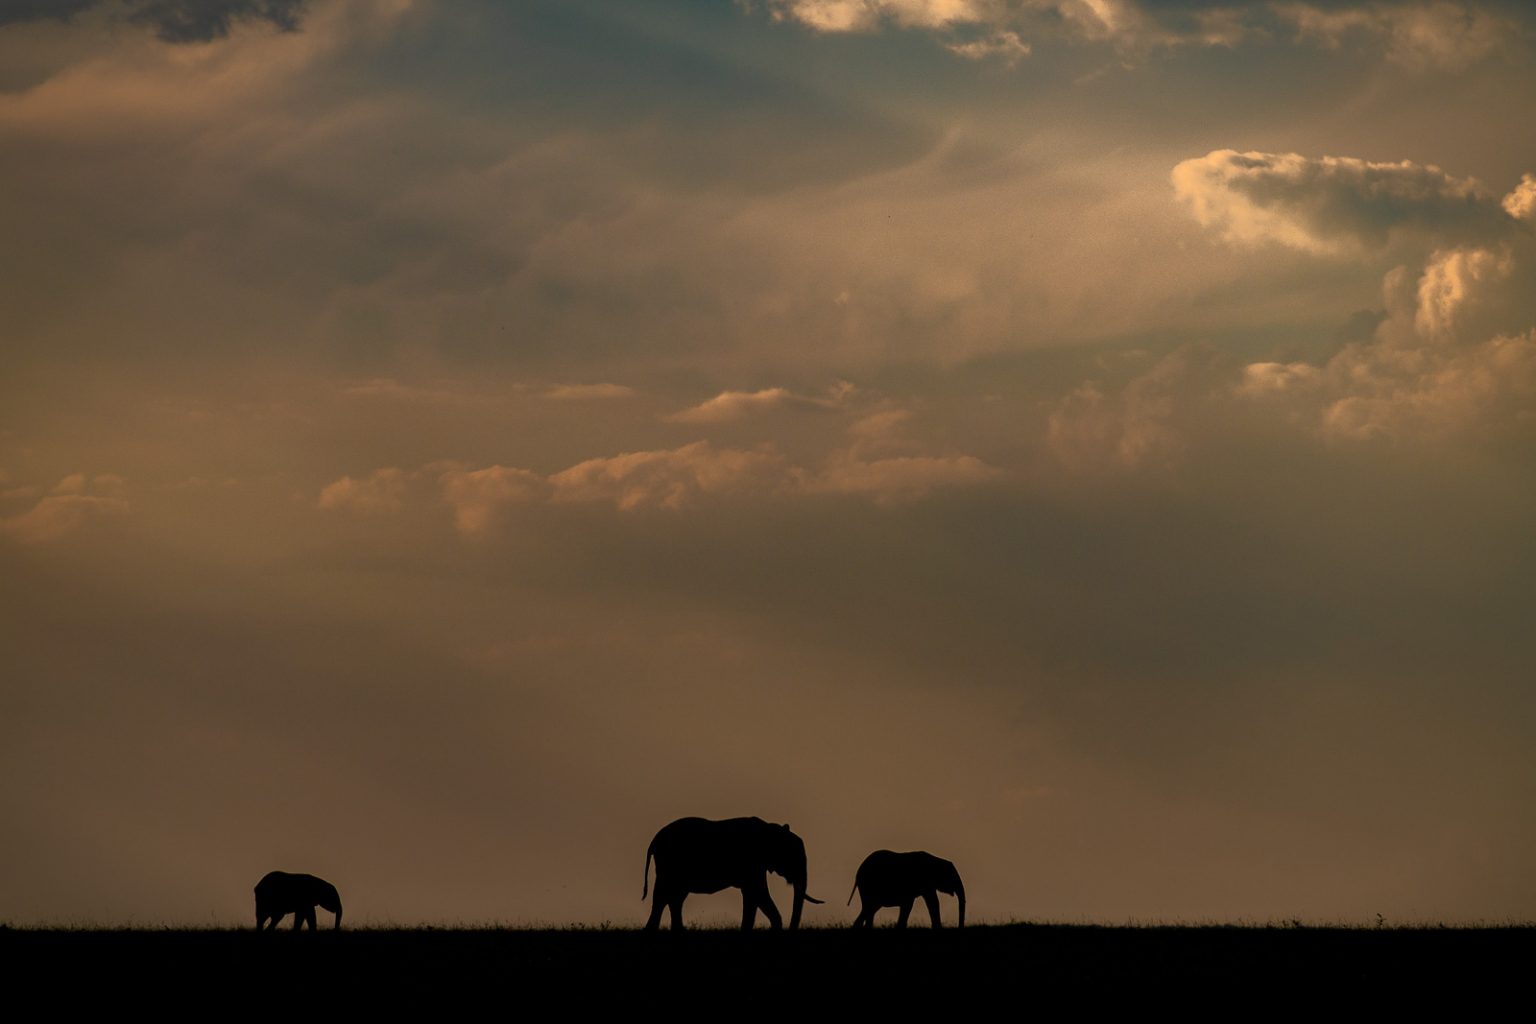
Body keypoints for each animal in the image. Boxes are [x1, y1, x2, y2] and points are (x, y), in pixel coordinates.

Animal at [642, 816, 825, 930]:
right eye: (793, 856)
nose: (791, 929)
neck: (770, 829)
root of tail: (654, 840)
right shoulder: (752, 862)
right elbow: (758, 893)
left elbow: (752, 896)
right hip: (669, 865)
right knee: (663, 896)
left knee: (675, 898)